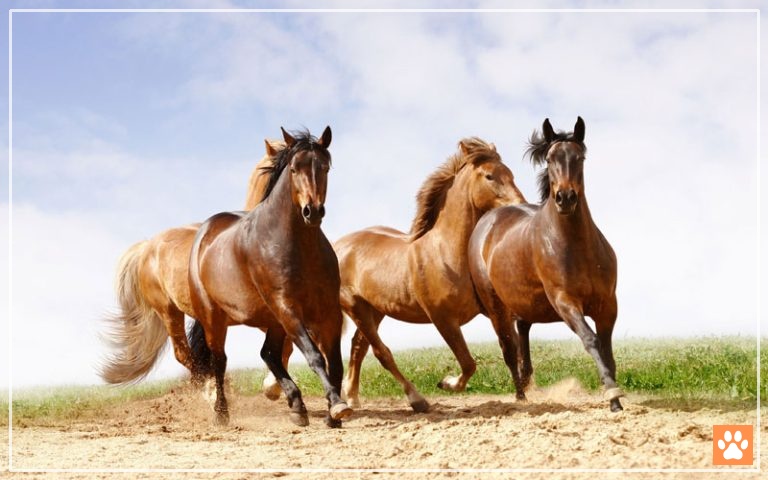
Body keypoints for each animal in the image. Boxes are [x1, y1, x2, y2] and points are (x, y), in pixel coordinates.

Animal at [187, 127, 352, 427]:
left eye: (324, 167)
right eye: (294, 169)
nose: (312, 211)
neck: (298, 246)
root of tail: (204, 233)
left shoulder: (328, 311)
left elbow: (334, 361)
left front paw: (333, 413)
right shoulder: (287, 307)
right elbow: (315, 356)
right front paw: (337, 405)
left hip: (273, 319)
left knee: (268, 353)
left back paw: (297, 406)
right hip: (215, 318)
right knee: (220, 361)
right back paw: (222, 413)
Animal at [335, 138, 526, 412]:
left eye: (510, 174)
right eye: (489, 176)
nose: (519, 205)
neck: (446, 253)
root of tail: (338, 246)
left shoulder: (493, 311)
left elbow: (511, 349)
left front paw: (524, 395)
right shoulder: (442, 319)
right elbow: (468, 363)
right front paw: (446, 383)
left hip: (375, 310)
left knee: (358, 347)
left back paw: (352, 396)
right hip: (355, 307)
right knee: (381, 352)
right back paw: (417, 400)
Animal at [467, 117, 623, 412]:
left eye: (580, 157)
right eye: (550, 159)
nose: (565, 198)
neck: (577, 247)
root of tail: (487, 220)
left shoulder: (608, 304)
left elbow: (608, 350)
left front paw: (615, 396)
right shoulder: (565, 301)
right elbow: (592, 340)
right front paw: (613, 395)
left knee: (523, 336)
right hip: (496, 308)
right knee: (508, 349)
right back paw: (520, 397)